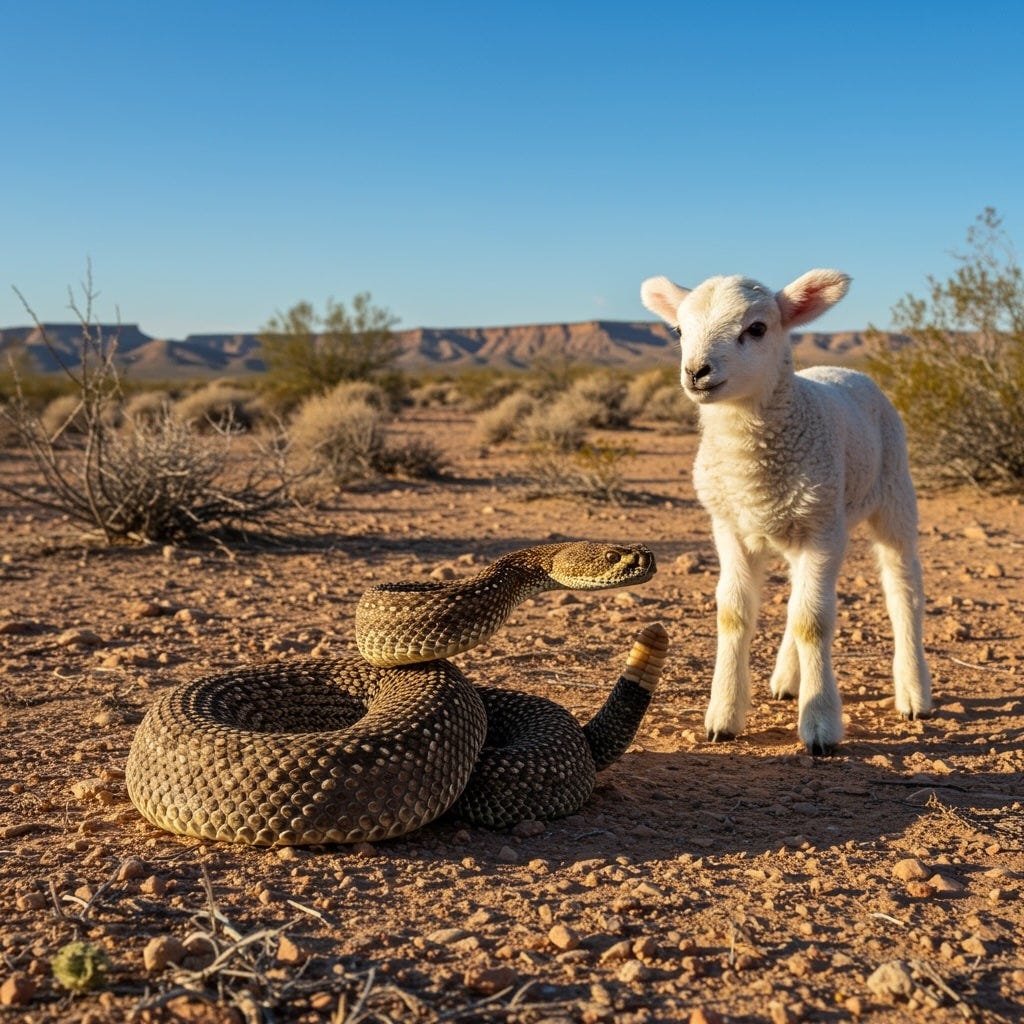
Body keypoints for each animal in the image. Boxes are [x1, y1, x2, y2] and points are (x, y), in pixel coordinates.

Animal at [640, 269, 932, 754]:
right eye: (678, 331)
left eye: (757, 328)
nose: (696, 372)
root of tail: (848, 371)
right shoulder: (729, 526)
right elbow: (735, 612)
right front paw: (723, 716)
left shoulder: (824, 530)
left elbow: (813, 623)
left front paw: (820, 724)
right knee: (799, 595)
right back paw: (786, 678)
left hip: (893, 495)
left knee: (902, 591)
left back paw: (914, 692)